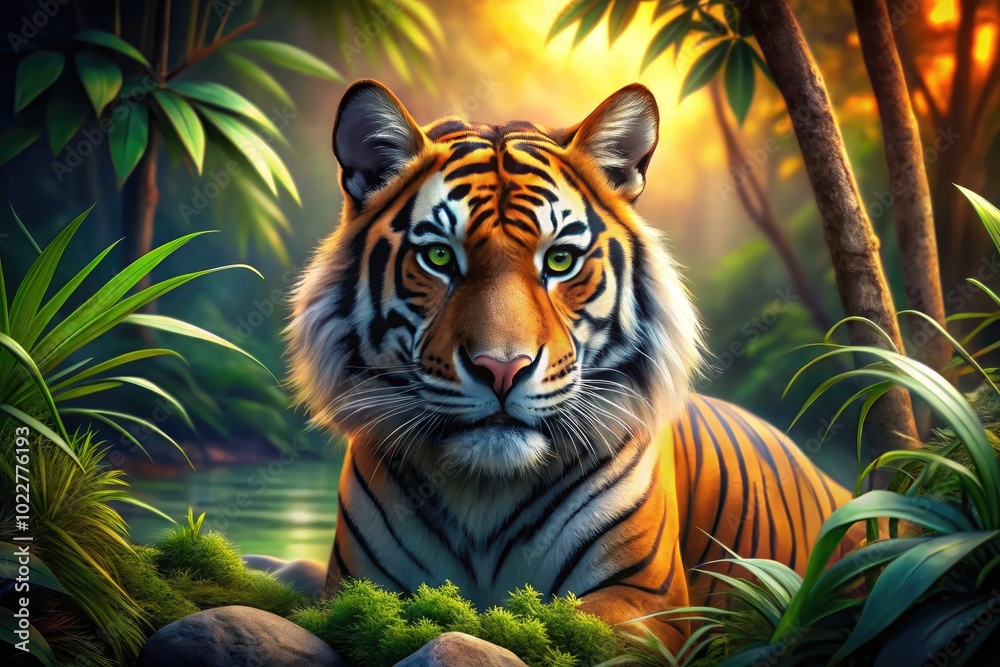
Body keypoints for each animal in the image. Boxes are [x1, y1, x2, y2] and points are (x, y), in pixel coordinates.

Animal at [287, 79, 858, 650]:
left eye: (560, 260)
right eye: (440, 258)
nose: (501, 369)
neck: (485, 493)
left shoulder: (647, 602)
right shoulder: (360, 585)